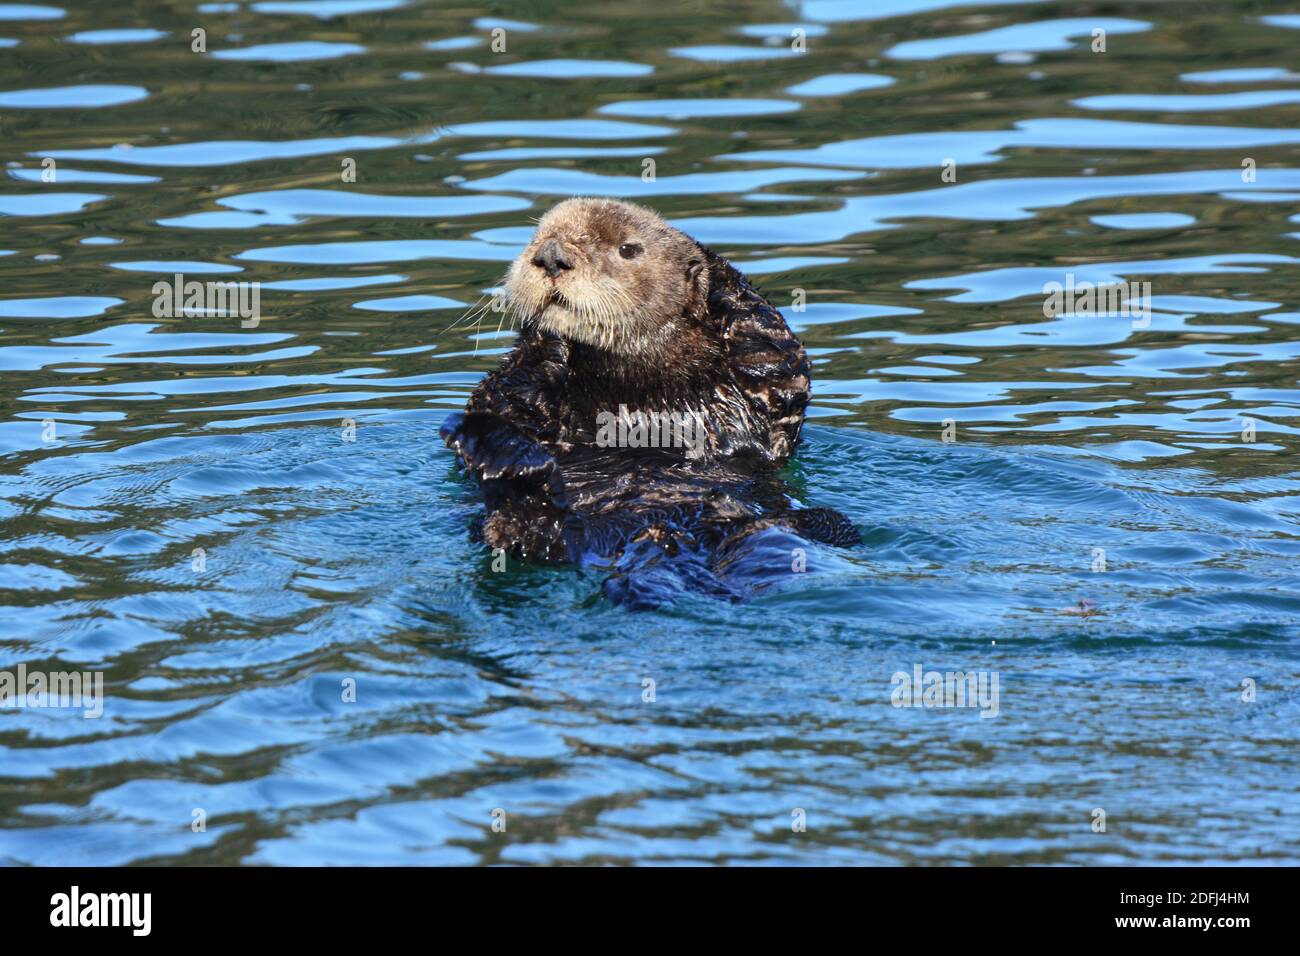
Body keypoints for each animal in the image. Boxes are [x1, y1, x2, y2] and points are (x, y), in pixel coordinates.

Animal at [441, 197, 859, 606]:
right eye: (537, 237)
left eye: (628, 249)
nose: (551, 256)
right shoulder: (512, 397)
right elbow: (502, 397)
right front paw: (548, 341)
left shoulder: (770, 389)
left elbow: (775, 359)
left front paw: (716, 277)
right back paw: (503, 458)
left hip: (821, 523)